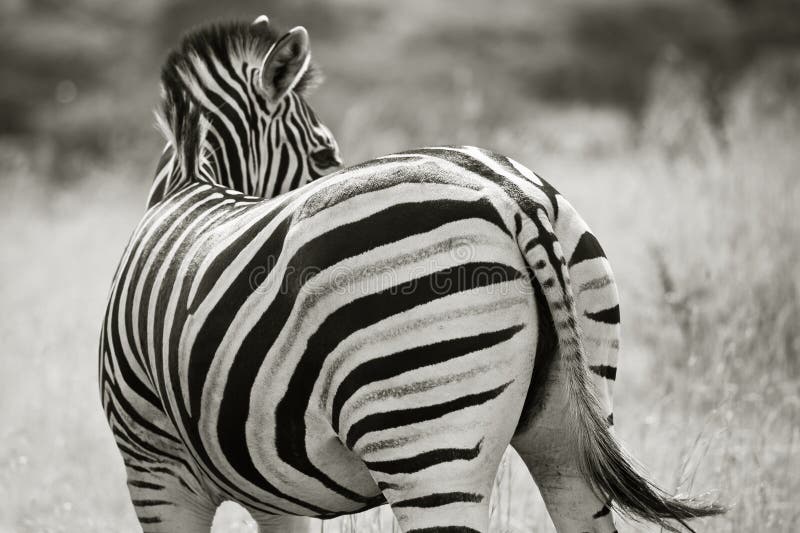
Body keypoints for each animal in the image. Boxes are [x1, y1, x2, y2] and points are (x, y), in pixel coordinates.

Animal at [98, 18, 724, 533]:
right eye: (323, 157)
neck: (192, 183)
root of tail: (509, 194)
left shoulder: (155, 470)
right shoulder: (275, 499)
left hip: (425, 440)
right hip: (573, 423)